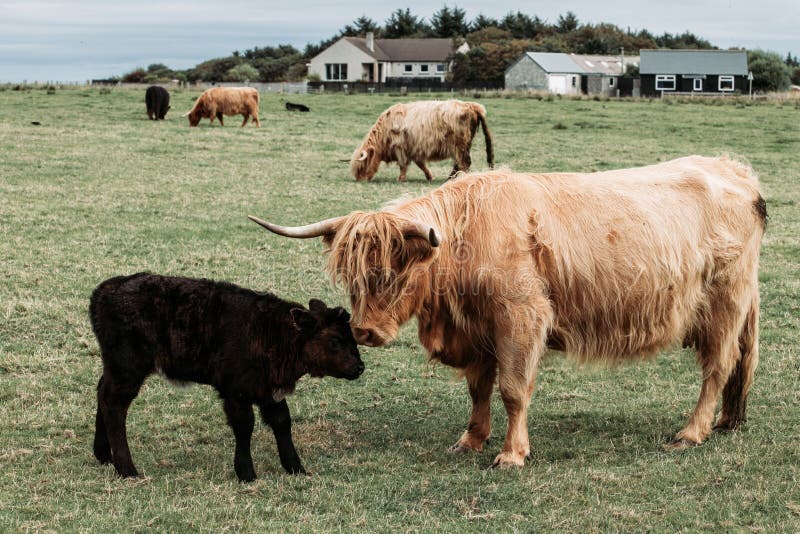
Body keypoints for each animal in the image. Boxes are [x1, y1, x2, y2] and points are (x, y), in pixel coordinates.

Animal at [90, 273, 364, 481]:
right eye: (335, 340)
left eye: (351, 336)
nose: (360, 367)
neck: (270, 331)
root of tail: (106, 289)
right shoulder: (235, 391)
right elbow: (245, 426)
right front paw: (246, 473)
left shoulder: (268, 389)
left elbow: (282, 422)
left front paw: (296, 467)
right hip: (127, 369)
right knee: (114, 404)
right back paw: (127, 469)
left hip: (115, 368)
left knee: (101, 392)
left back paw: (103, 454)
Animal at [249, 155, 766, 469]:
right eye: (353, 277)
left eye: (395, 271)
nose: (365, 332)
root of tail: (736, 172)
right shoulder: (477, 330)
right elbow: (479, 389)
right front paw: (471, 440)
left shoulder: (520, 318)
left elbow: (513, 390)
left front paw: (512, 454)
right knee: (739, 364)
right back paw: (725, 421)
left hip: (724, 305)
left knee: (718, 367)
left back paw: (692, 431)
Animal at [350, 99, 494, 182]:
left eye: (362, 165)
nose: (359, 179)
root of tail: (472, 105)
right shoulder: (415, 150)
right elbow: (422, 165)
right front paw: (430, 177)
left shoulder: (400, 148)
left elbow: (403, 165)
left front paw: (401, 179)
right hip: (462, 146)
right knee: (459, 163)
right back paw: (449, 178)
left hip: (460, 145)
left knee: (464, 163)